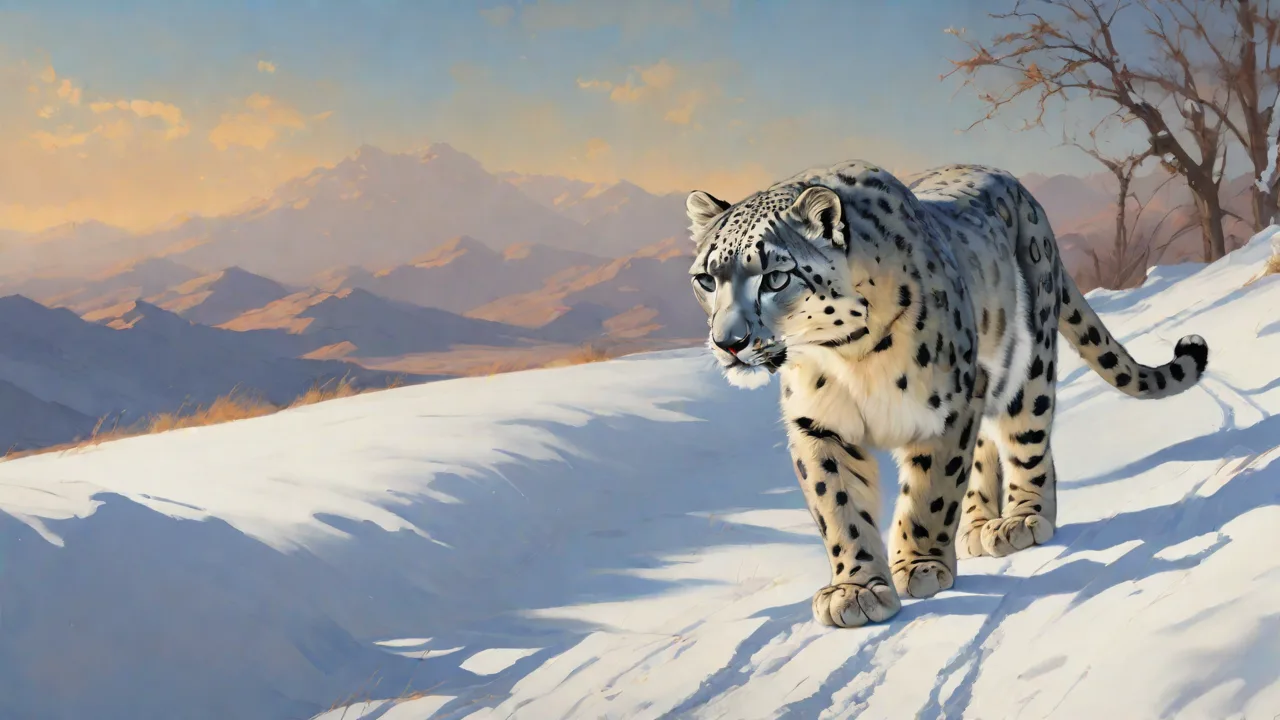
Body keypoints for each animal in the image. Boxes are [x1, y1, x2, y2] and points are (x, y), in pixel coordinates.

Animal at [685, 160, 1210, 628]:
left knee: (1026, 441)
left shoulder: (948, 406)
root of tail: (1022, 191)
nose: (728, 343)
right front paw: (856, 589)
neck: (846, 356)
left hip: (1027, 367)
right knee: (984, 453)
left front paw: (919, 566)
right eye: (706, 279)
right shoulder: (818, 424)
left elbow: (931, 492)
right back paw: (977, 526)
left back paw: (1022, 520)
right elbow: (837, 507)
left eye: (776, 277)